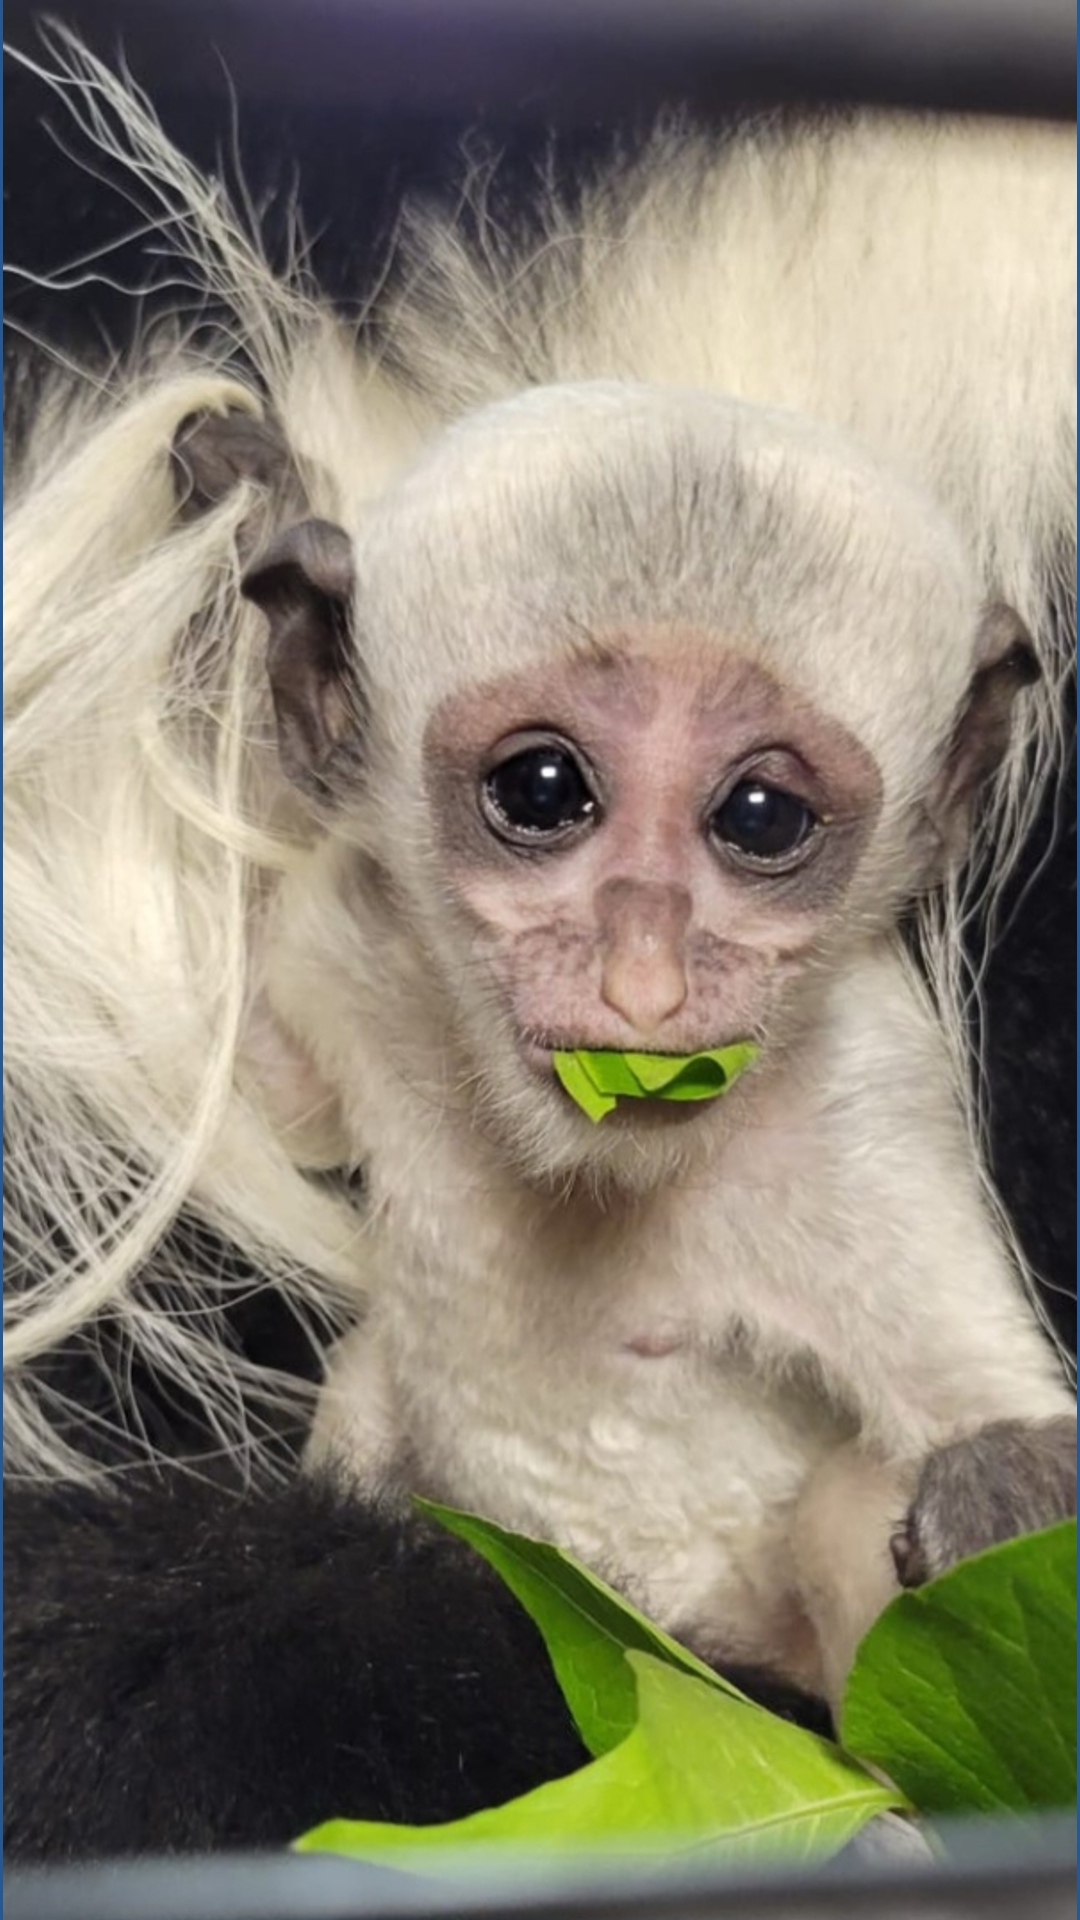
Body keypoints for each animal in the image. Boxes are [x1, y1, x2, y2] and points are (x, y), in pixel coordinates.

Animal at [3, 31, 1076, 1859]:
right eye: (545, 791)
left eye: (761, 819)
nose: (643, 980)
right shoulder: (360, 960)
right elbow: (287, 1091)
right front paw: (239, 541)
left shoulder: (868, 1113)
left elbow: (975, 1435)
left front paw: (1007, 1489)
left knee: (845, 1522)